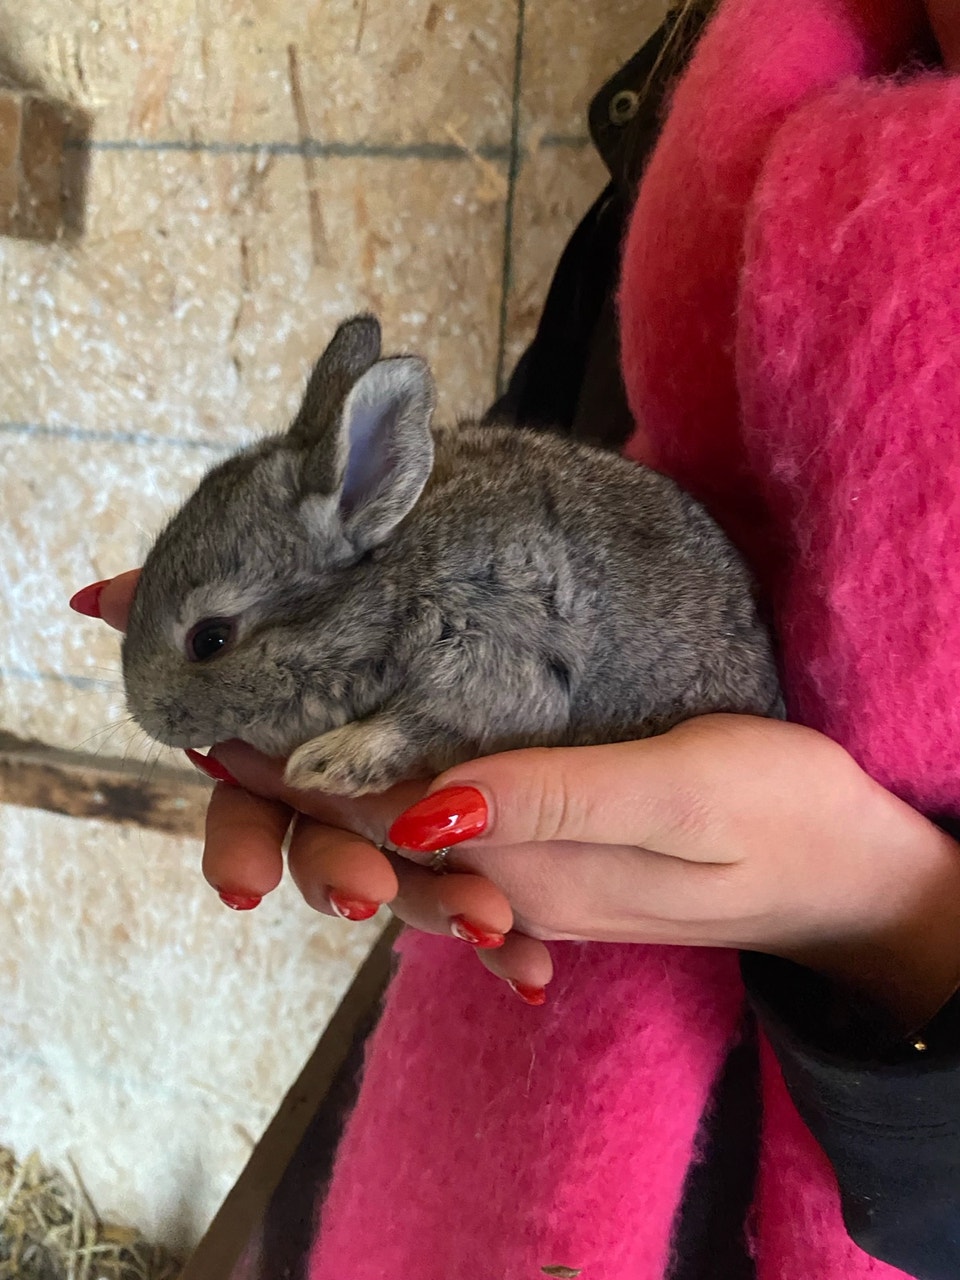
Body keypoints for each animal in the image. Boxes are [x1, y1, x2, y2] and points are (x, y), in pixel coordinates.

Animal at [122, 314, 783, 797]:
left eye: (210, 639)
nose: (145, 713)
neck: (391, 592)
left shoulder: (495, 660)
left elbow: (423, 724)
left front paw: (325, 765)